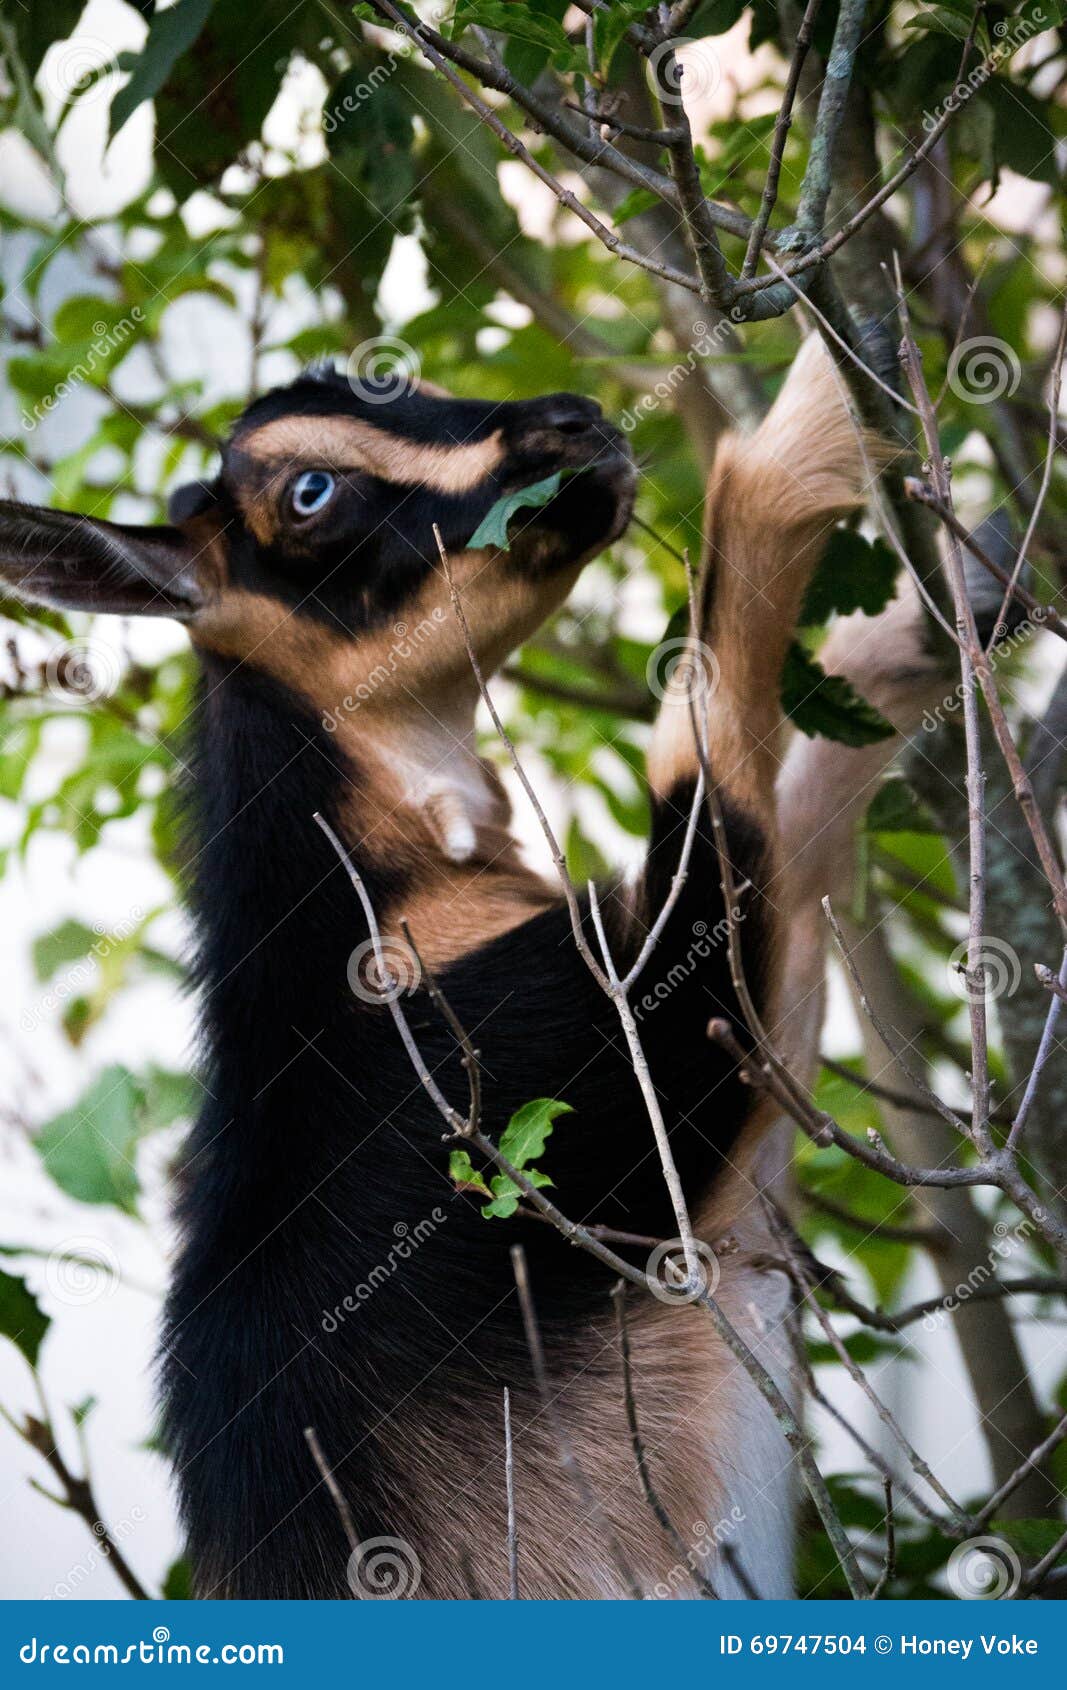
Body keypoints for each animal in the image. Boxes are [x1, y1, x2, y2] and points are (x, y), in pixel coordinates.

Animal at [0, 341, 947, 1599]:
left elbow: (806, 794)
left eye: (390, 379)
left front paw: (952, 606)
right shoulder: (634, 1080)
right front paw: (809, 405)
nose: (570, 425)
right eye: (309, 492)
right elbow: (711, 751)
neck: (362, 935)